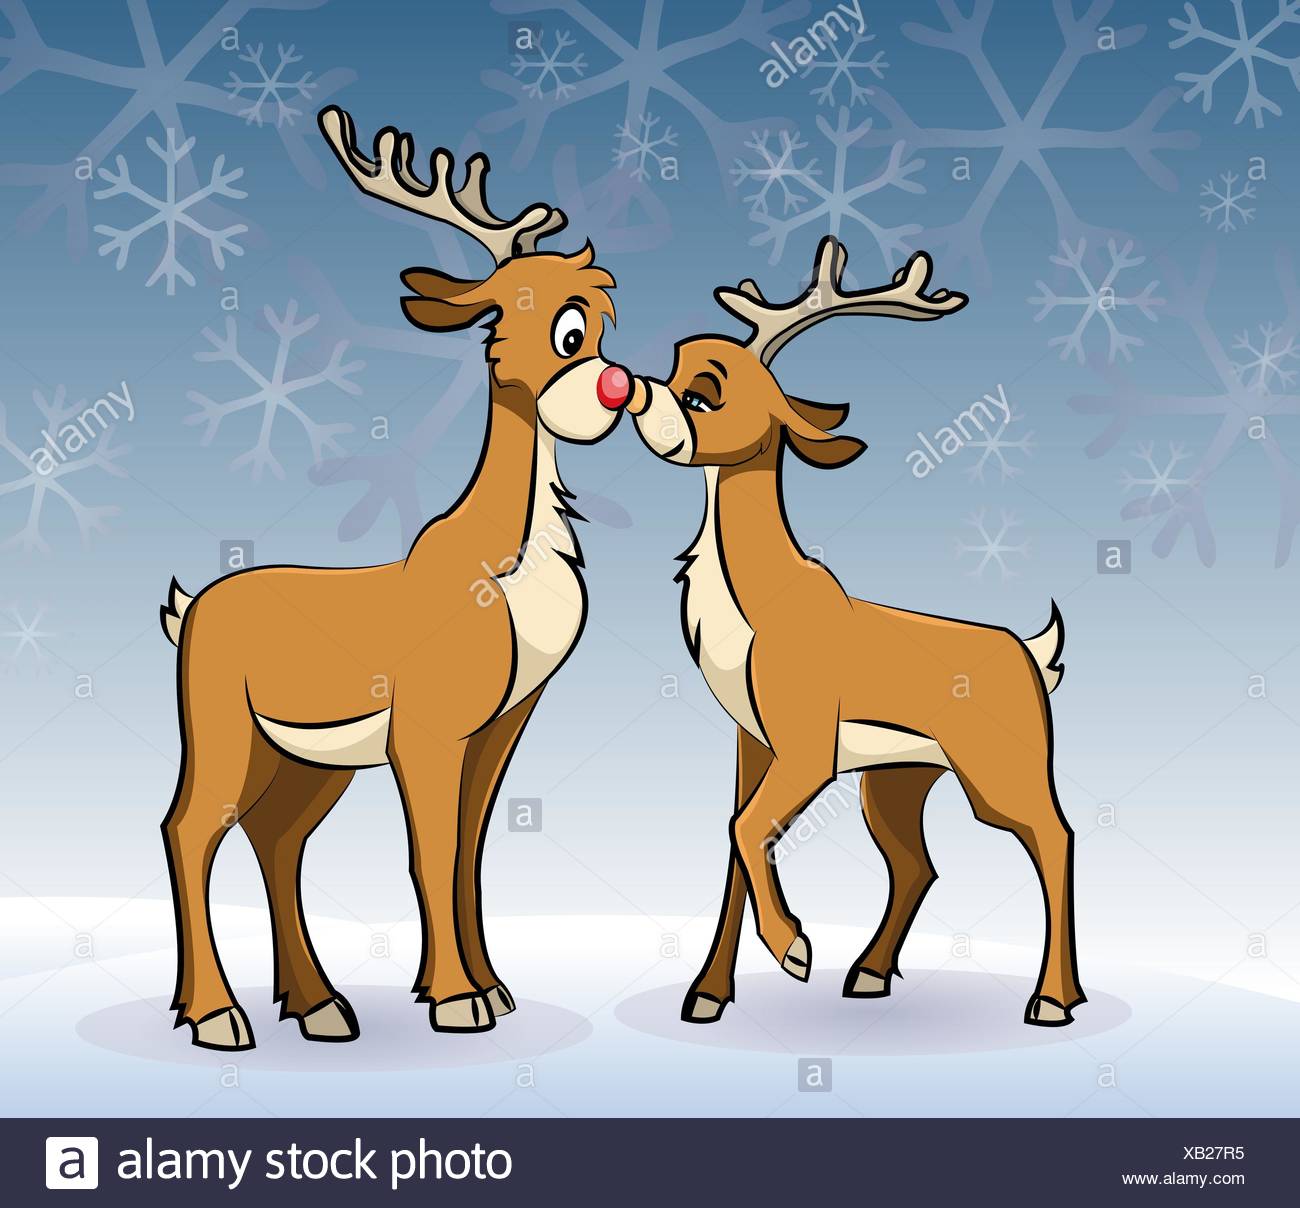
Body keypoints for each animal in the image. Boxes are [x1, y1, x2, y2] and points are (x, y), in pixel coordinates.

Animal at [158, 105, 638, 1050]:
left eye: (597, 326)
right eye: (557, 328)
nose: (618, 388)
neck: (500, 573)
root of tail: (191, 606)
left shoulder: (502, 722)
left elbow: (469, 854)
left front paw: (492, 989)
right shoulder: (429, 726)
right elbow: (428, 852)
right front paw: (454, 1001)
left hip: (307, 759)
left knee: (276, 838)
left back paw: (319, 1008)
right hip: (222, 728)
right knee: (191, 828)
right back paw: (216, 1016)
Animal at [627, 237, 1084, 1029]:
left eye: (705, 391)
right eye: (675, 367)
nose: (626, 387)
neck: (759, 607)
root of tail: (1031, 651)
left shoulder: (807, 747)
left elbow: (748, 829)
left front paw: (795, 949)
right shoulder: (754, 742)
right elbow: (735, 834)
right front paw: (708, 994)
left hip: (1002, 773)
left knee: (1054, 838)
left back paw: (1053, 1000)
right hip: (896, 780)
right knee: (917, 864)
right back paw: (869, 974)